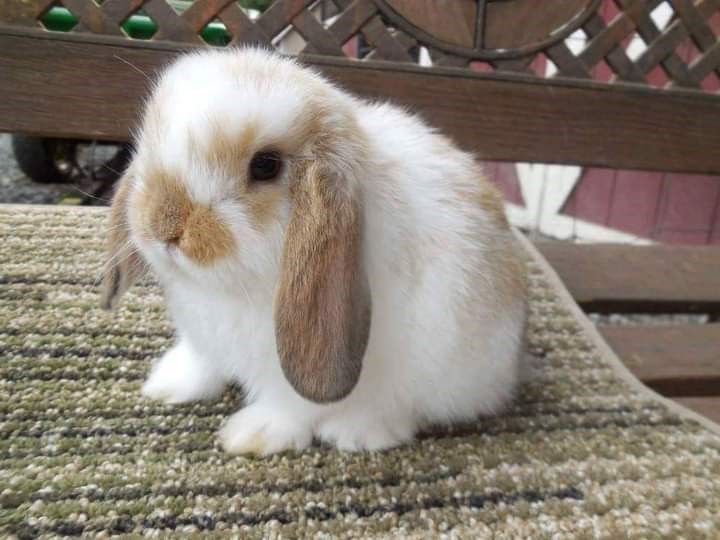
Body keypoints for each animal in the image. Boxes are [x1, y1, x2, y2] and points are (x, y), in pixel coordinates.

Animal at [101, 48, 529, 455]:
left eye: (265, 165)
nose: (164, 227)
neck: (227, 289)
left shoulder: (292, 367)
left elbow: (292, 404)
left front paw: (252, 434)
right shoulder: (203, 338)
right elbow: (201, 363)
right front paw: (166, 384)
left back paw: (356, 433)